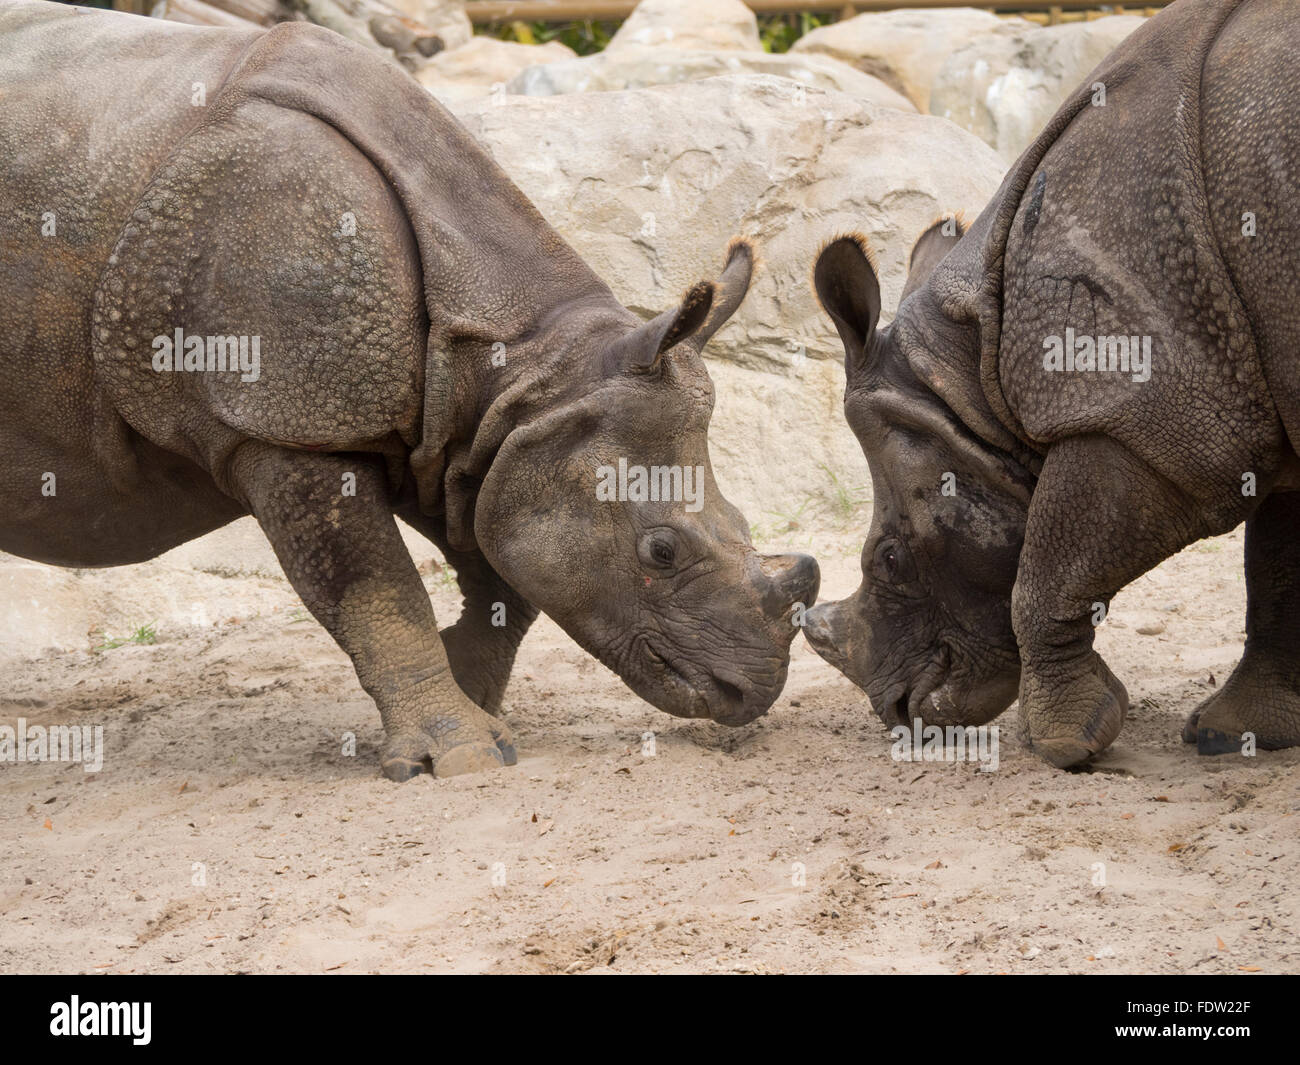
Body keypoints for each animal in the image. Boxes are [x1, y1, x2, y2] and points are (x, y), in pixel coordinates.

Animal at [0, 1, 818, 779]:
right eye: (662, 551)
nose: (753, 690)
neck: (524, 362)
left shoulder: (468, 428)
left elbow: (501, 570)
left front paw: (472, 707)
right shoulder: (282, 424)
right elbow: (379, 587)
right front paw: (461, 756)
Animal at [804, 0, 1300, 767]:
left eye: (889, 557)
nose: (900, 712)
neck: (970, 379)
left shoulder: (1144, 416)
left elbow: (1046, 572)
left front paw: (1069, 744)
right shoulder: (1251, 394)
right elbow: (1274, 567)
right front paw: (1238, 734)